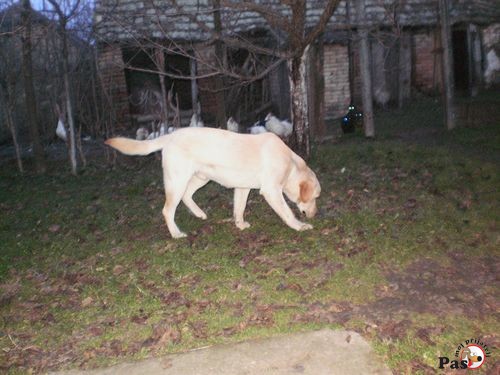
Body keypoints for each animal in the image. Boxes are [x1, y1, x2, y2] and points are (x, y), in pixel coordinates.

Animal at [107, 126, 322, 238]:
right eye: (316, 197)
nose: (315, 215)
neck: (291, 165)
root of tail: (170, 136)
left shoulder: (242, 187)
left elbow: (239, 209)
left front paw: (239, 224)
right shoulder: (271, 191)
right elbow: (287, 213)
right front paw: (299, 226)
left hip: (201, 178)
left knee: (187, 196)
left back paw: (199, 213)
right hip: (178, 182)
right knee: (167, 210)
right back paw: (176, 233)